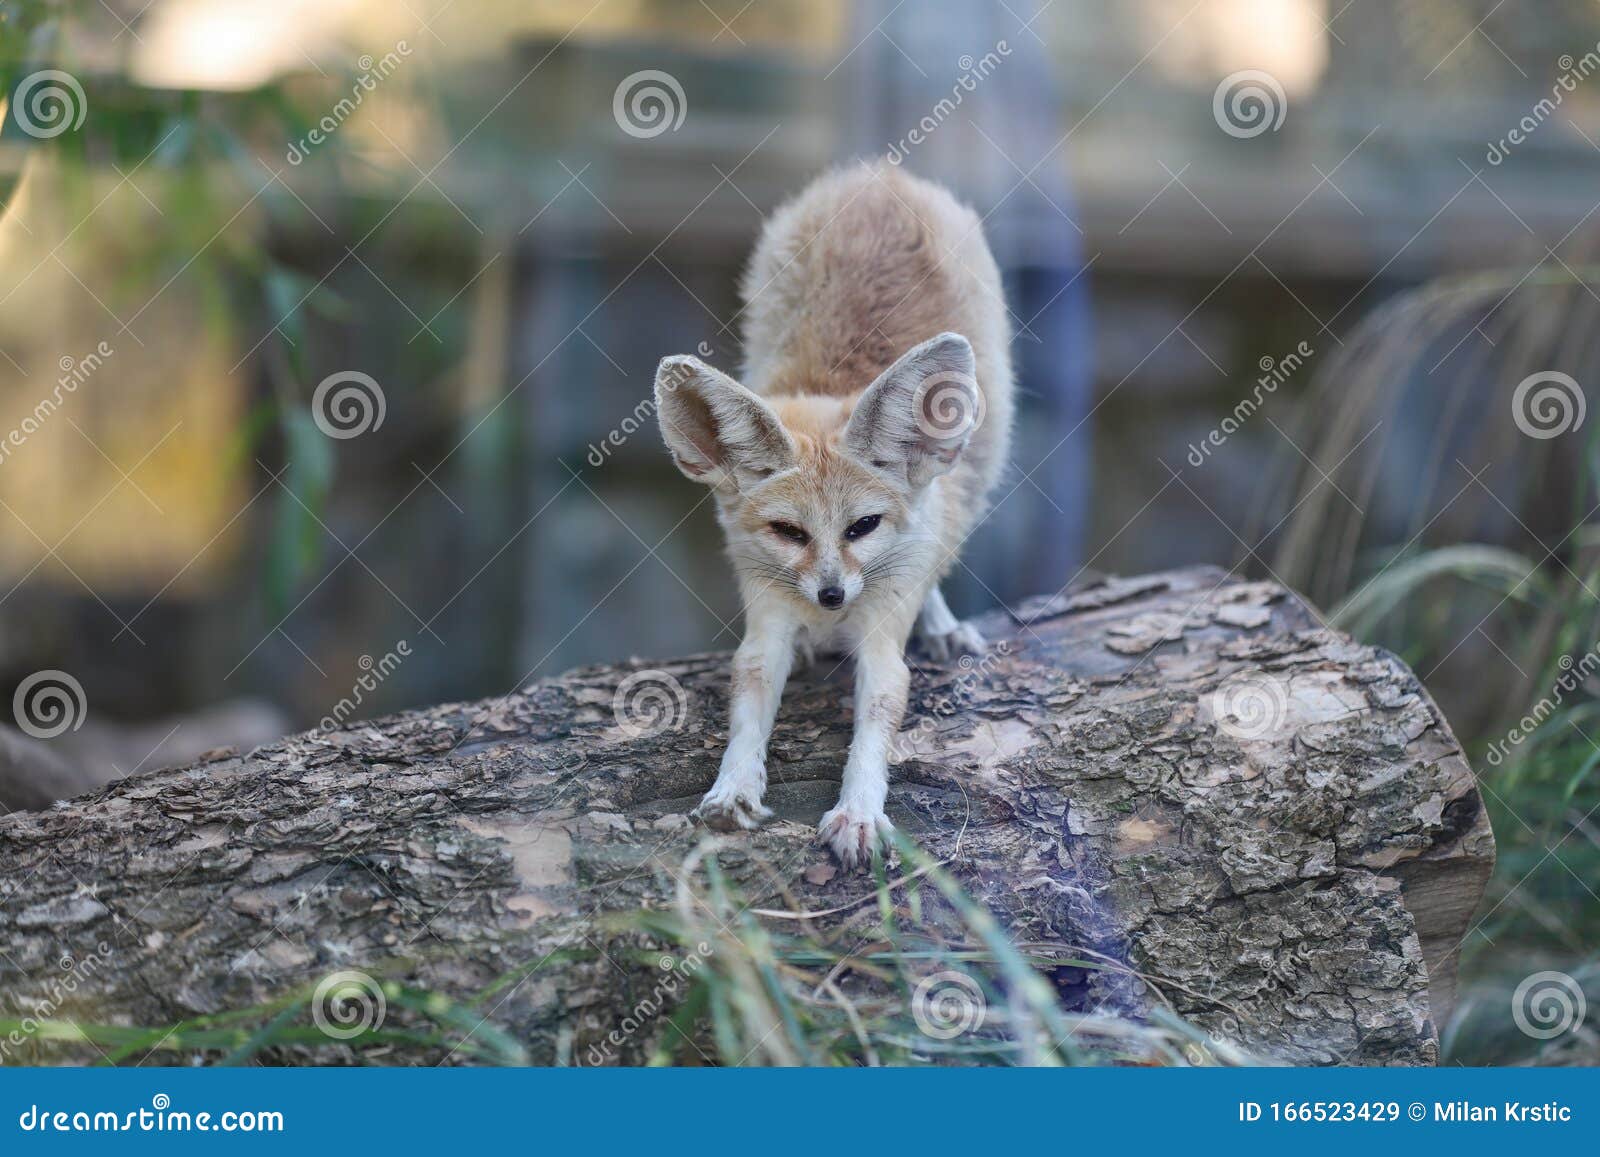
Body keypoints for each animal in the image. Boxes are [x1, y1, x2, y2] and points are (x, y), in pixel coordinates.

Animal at [653, 163, 1014, 868]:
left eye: (863, 527)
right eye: (789, 532)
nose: (830, 596)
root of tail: (882, 174)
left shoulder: (882, 630)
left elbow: (878, 718)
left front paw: (859, 811)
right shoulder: (765, 616)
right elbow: (749, 699)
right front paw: (733, 786)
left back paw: (943, 625)